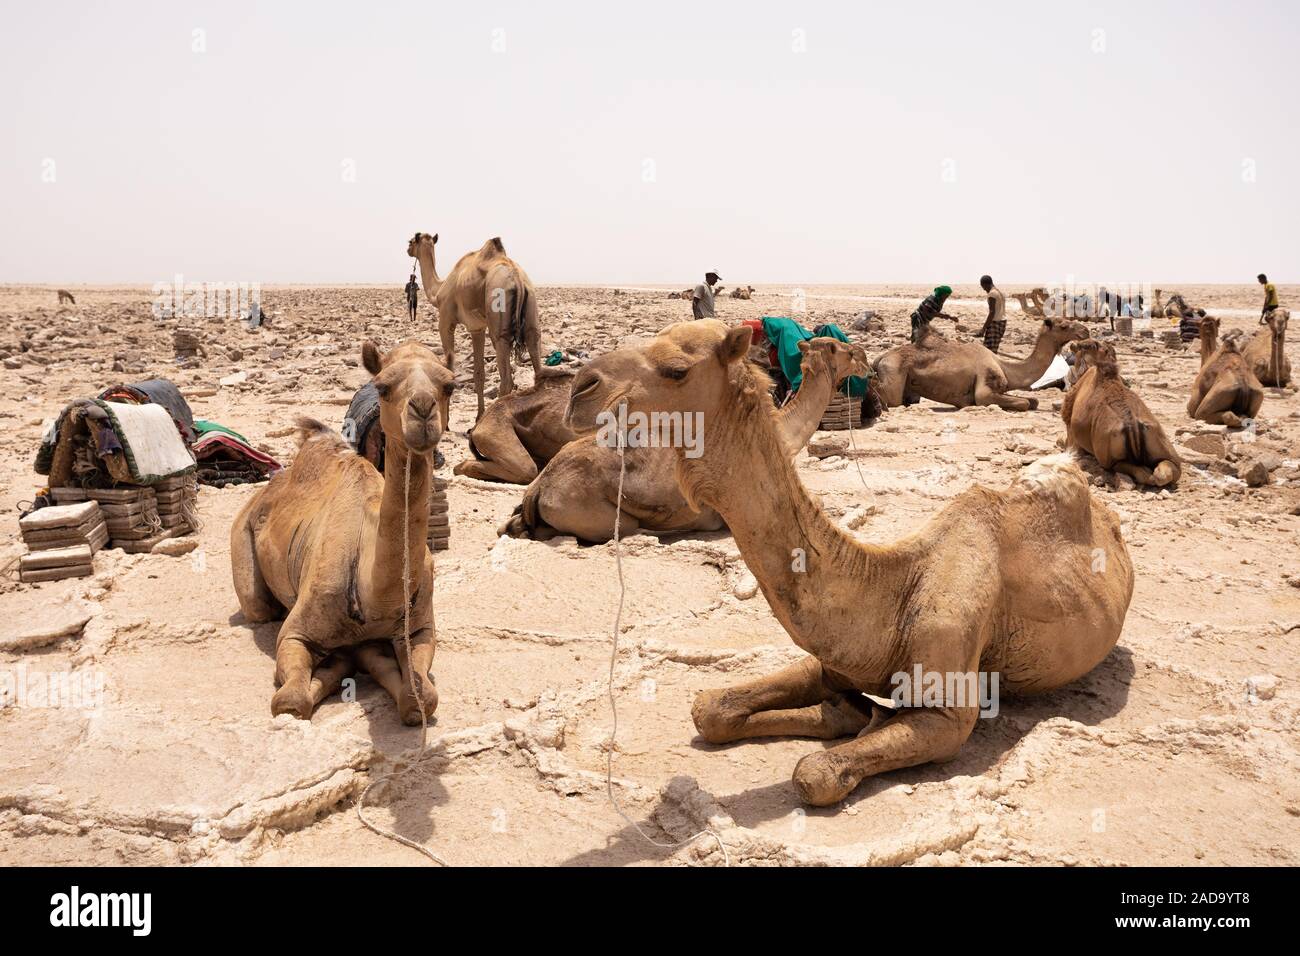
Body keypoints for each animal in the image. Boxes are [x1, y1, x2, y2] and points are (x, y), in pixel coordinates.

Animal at [230, 340, 453, 724]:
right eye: (382, 386)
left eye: (451, 385)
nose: (423, 412)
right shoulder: (295, 633)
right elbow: (291, 699)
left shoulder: (420, 627)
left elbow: (419, 698)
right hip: (241, 533)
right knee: (259, 607)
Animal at [406, 232, 542, 420]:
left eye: (411, 241)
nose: (407, 249)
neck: (439, 291)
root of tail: (518, 280)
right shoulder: (477, 328)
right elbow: (479, 373)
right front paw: (478, 415)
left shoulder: (446, 322)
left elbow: (449, 368)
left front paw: (447, 420)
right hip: (531, 309)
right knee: (535, 349)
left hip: (498, 315)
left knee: (506, 378)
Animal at [872, 318, 1088, 412]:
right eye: (1063, 325)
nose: (1085, 330)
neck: (1006, 367)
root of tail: (881, 357)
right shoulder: (985, 388)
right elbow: (1025, 403)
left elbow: (1033, 401)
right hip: (894, 371)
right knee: (888, 395)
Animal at [1061, 340, 1181, 487]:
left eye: (1076, 349)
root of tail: (1133, 425)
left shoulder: (1072, 437)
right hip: (1164, 448)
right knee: (1164, 471)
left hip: (1108, 458)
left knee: (1124, 468)